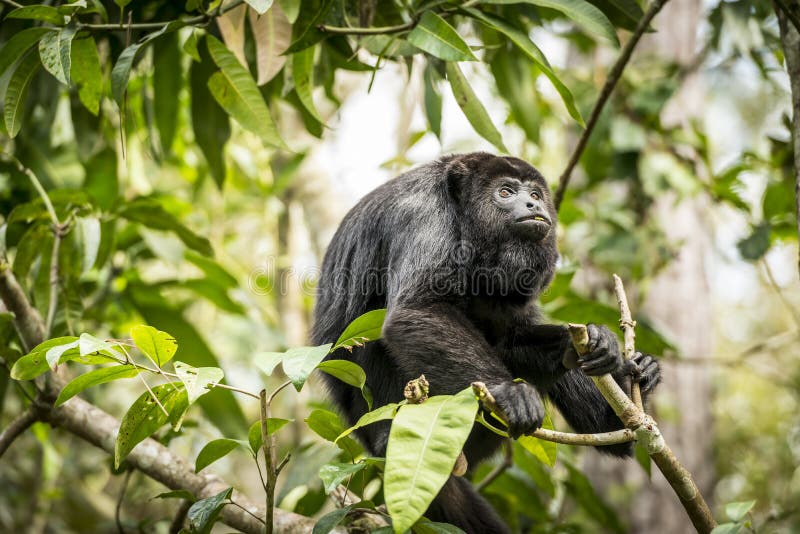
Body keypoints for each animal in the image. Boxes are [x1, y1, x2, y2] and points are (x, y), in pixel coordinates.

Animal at [312, 152, 661, 533]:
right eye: (505, 192)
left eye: (535, 193)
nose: (533, 205)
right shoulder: (423, 215)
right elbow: (418, 309)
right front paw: (509, 392)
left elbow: (510, 337)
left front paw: (602, 340)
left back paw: (624, 403)